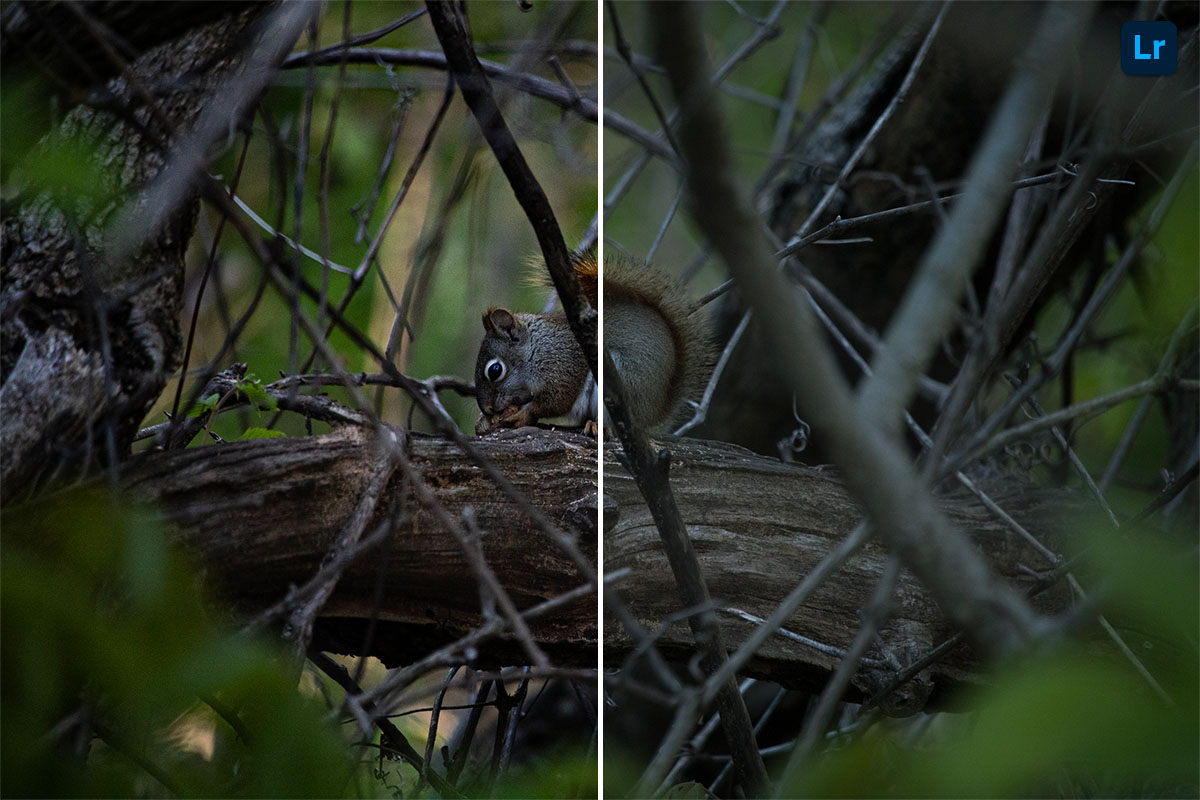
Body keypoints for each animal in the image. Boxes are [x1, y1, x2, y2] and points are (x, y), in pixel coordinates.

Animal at [474, 251, 713, 435]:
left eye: (495, 370)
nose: (487, 409)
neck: (538, 347)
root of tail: (654, 413)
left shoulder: (563, 363)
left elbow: (556, 401)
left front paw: (522, 415)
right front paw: (484, 422)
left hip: (624, 381)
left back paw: (597, 426)